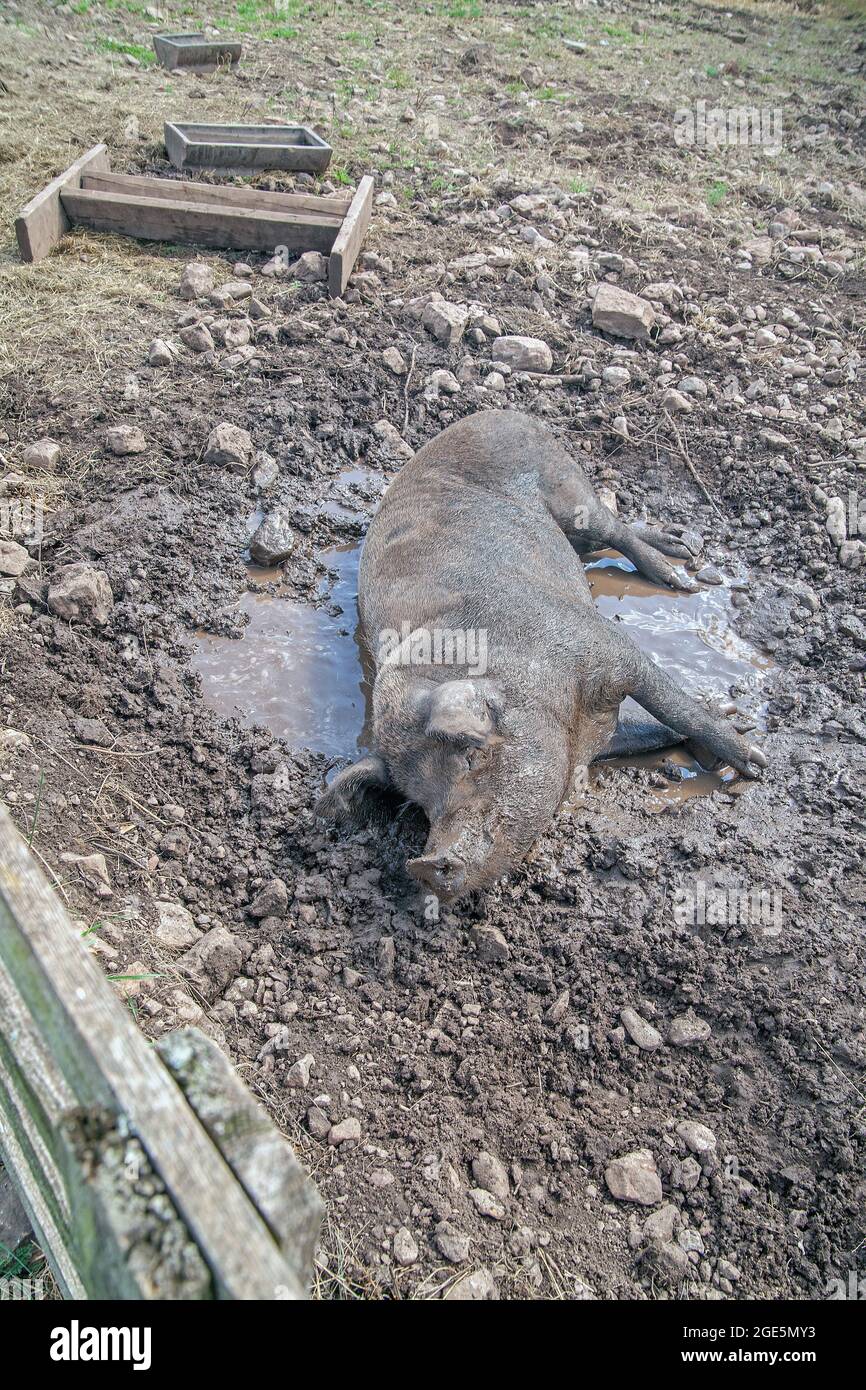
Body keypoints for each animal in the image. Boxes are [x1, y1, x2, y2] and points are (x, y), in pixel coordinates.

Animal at [316, 410, 766, 901]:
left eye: (471, 757)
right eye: (419, 802)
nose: (427, 866)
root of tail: (489, 414)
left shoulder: (607, 646)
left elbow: (676, 707)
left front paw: (754, 762)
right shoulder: (596, 736)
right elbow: (655, 728)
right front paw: (736, 720)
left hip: (567, 489)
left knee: (612, 527)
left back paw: (677, 573)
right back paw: (678, 544)